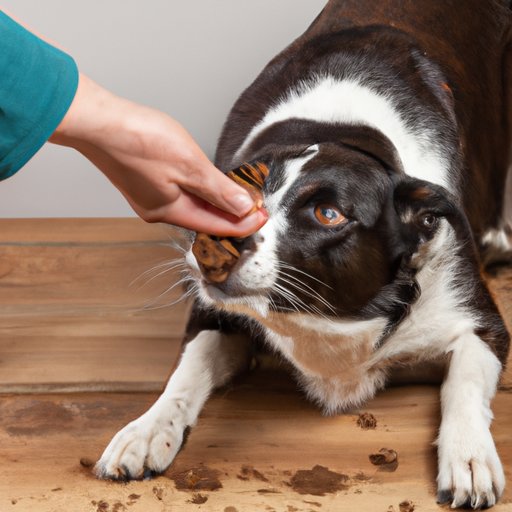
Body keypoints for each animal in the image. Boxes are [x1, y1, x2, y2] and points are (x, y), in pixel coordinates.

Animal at [95, 1, 508, 508]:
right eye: (232, 199)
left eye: (329, 214)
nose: (207, 252)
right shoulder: (214, 316)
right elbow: (185, 374)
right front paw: (147, 428)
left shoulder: (481, 325)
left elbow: (462, 383)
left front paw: (468, 454)